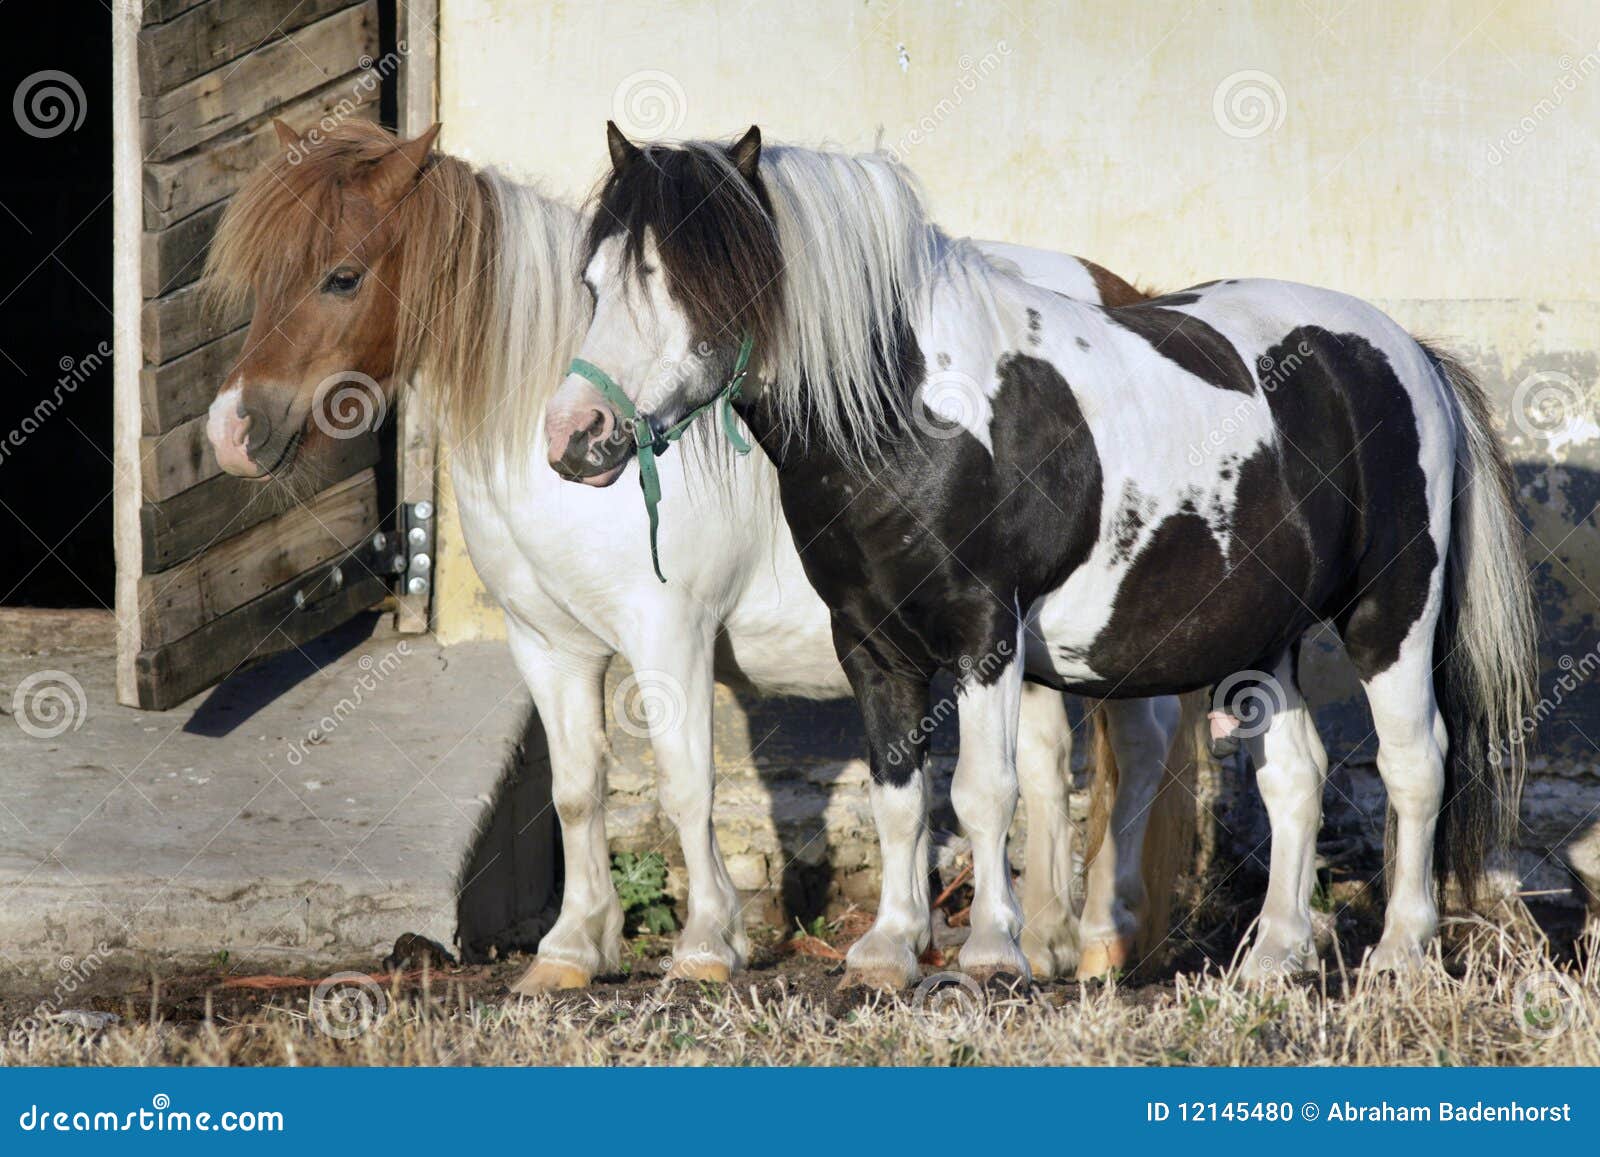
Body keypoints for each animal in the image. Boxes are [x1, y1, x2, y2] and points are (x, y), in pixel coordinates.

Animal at [200, 119, 1209, 991]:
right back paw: (1044, 935)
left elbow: (686, 784)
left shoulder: (668, 635)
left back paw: (1103, 937)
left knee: (1134, 757)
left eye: (341, 276)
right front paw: (572, 949)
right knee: (1041, 765)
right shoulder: (548, 645)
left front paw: (706, 942)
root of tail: (1123, 296)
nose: (232, 431)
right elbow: (576, 791)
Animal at [544, 123, 1539, 988]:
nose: (574, 436)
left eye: (702, 285)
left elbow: (988, 791)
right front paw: (888, 952)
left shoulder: (986, 634)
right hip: (1265, 637)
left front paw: (992, 952)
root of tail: (1410, 352)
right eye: (592, 283)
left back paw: (1402, 953)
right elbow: (900, 794)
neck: (918, 412)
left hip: (1391, 614)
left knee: (1415, 766)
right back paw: (1272, 959)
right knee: (1296, 777)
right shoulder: (869, 643)